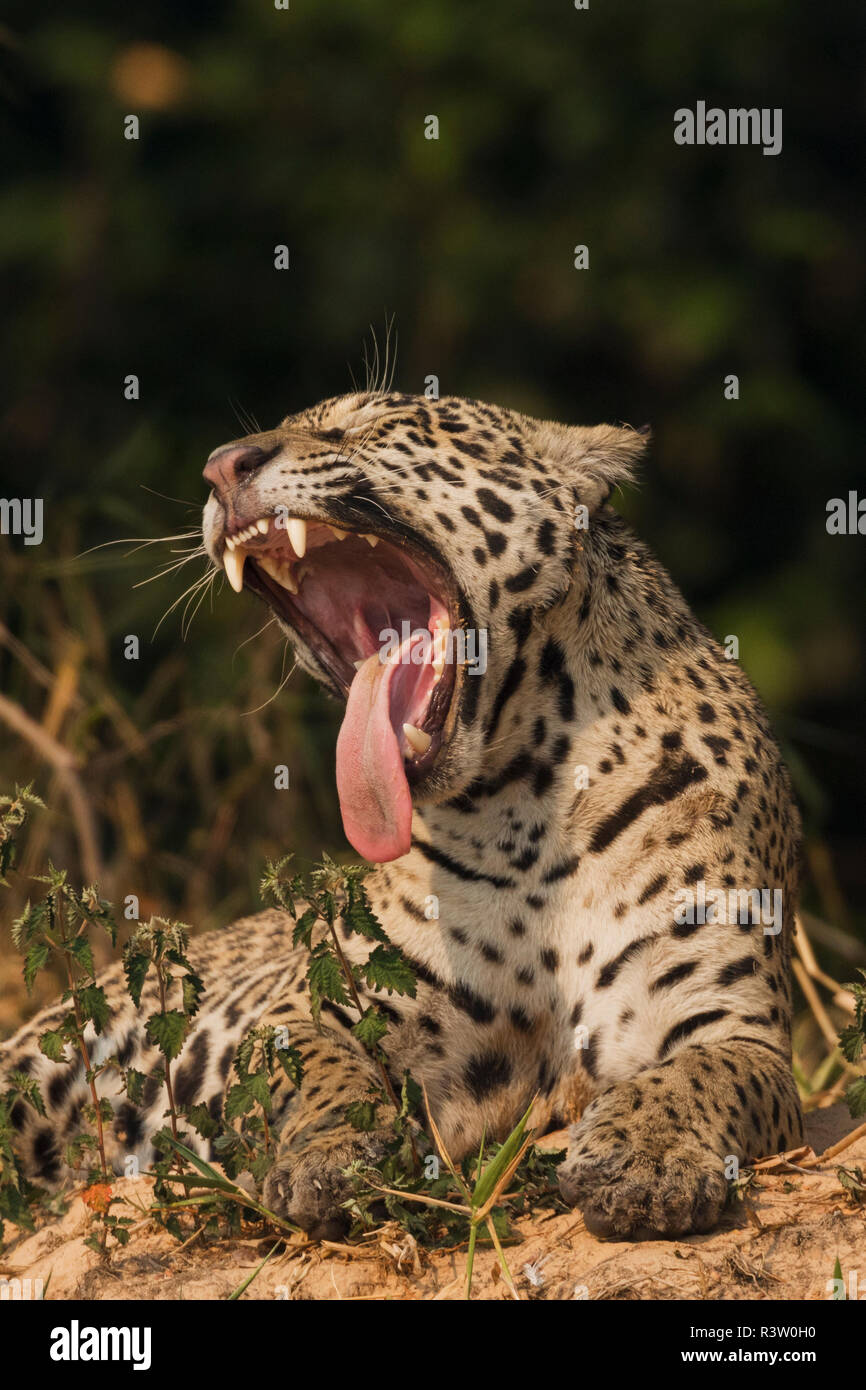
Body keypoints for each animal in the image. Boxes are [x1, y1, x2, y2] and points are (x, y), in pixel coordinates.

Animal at [2, 389, 804, 1242]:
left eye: (363, 426)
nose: (222, 468)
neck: (527, 810)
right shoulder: (329, 1000)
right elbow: (316, 1064)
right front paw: (332, 1155)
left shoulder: (732, 1019)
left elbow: (703, 1074)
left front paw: (644, 1159)